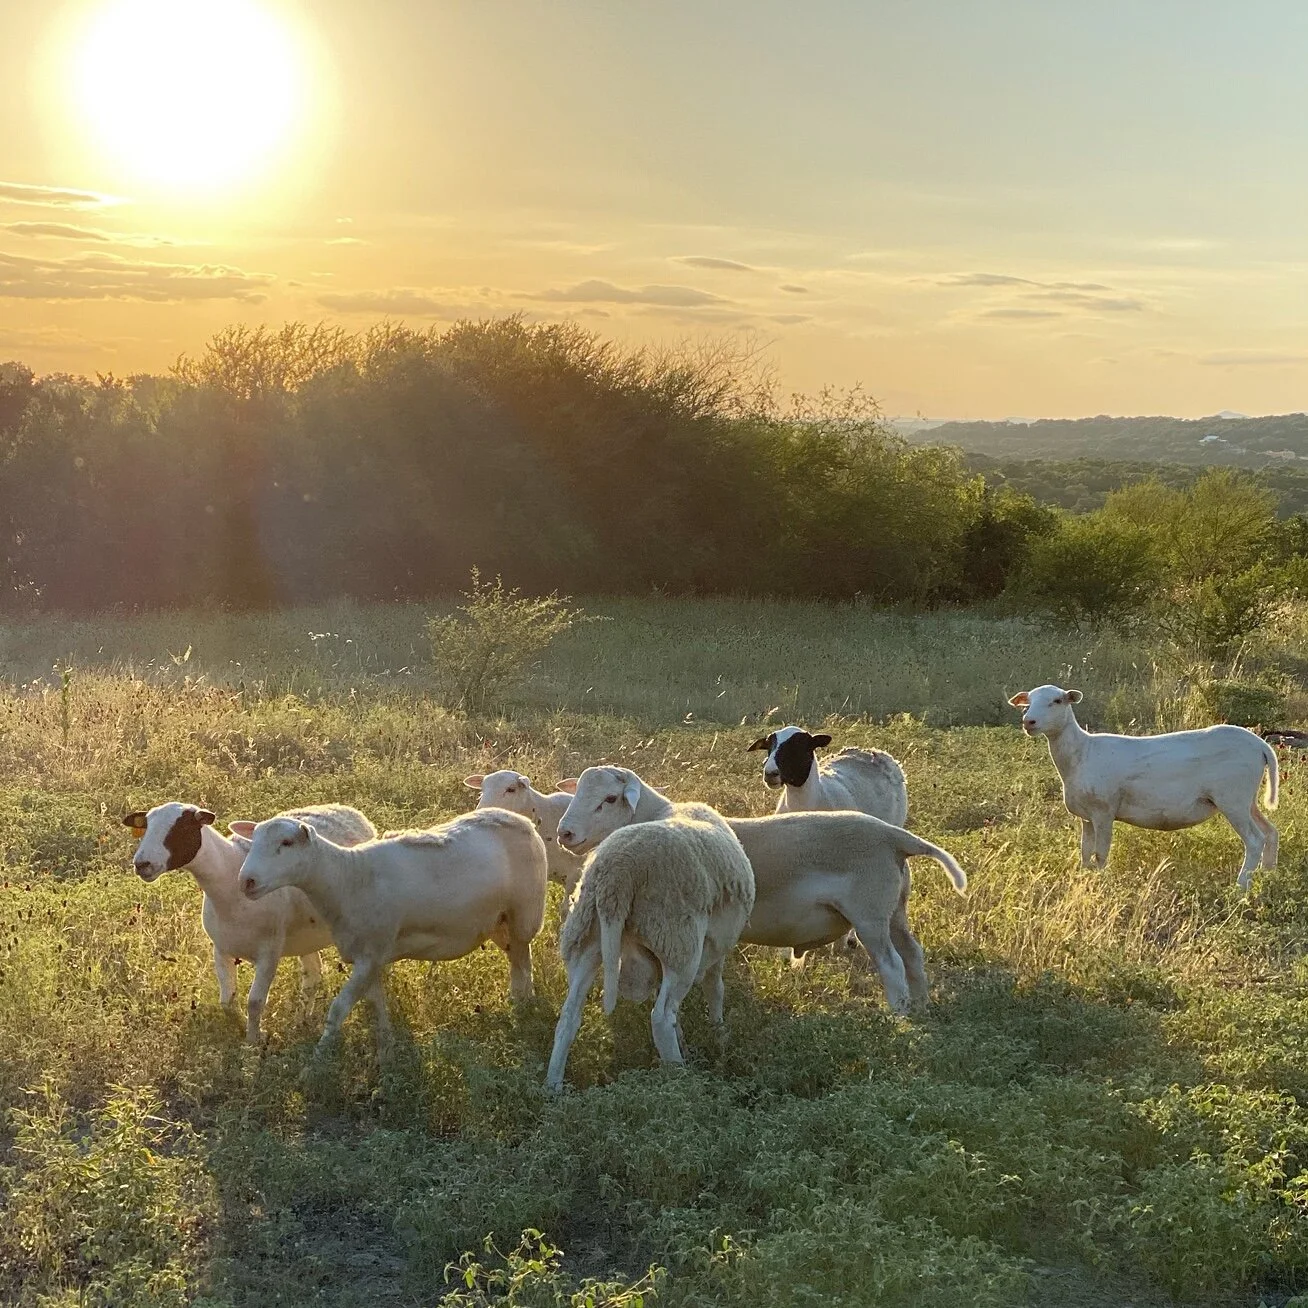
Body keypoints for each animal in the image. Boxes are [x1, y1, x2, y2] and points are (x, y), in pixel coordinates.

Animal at [122, 802, 376, 1042]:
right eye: (146, 826)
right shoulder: (221, 948)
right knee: (312, 977)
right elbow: (227, 1002)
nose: (142, 864)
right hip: (307, 936)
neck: (228, 883)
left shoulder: (269, 952)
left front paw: (254, 1041)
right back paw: (303, 1020)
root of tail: (349, 811)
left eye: (181, 827)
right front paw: (244, 1030)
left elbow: (254, 1002)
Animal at [237, 808, 548, 1059]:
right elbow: (377, 1005)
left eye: (286, 843)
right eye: (253, 842)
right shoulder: (369, 955)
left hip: (524, 913)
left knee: (523, 962)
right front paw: (387, 1050)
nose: (246, 881)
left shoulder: (370, 954)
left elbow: (337, 1010)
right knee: (517, 959)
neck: (347, 877)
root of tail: (520, 820)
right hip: (497, 921)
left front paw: (316, 1062)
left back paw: (523, 1010)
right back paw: (520, 1002)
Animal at [545, 767, 755, 1091]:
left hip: (587, 936)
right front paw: (719, 1035)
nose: (564, 833)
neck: (657, 810)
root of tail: (617, 874)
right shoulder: (717, 945)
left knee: (568, 1016)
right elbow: (715, 989)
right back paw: (682, 1078)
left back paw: (552, 1088)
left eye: (610, 798)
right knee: (661, 1017)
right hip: (678, 942)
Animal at [556, 766, 966, 1021]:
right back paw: (922, 1008)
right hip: (894, 909)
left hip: (870, 915)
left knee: (892, 964)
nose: (565, 834)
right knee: (912, 954)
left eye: (609, 799)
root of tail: (895, 837)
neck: (656, 816)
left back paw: (899, 1016)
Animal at [1009, 684, 1280, 891]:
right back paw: (1268, 874)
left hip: (1232, 798)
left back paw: (1241, 885)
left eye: (1057, 701)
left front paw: (1101, 882)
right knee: (1270, 832)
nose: (1028, 721)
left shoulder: (1104, 812)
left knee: (1254, 840)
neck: (1081, 753)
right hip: (1247, 800)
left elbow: (1100, 853)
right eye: (1027, 702)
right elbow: (1085, 853)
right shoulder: (1086, 816)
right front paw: (1084, 878)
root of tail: (1261, 746)